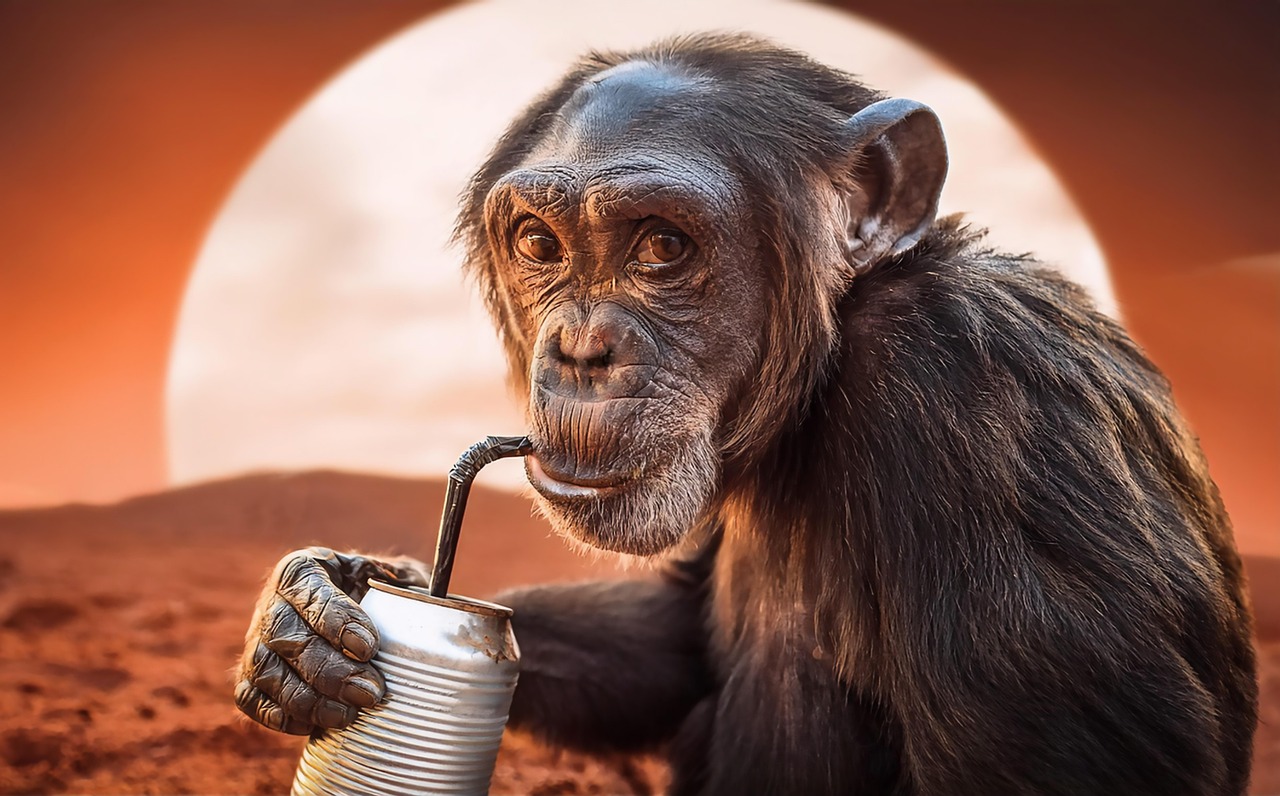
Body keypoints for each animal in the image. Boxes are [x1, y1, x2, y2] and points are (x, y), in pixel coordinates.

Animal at [235, 34, 1258, 795]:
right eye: (538, 243)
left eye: (661, 245)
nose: (580, 352)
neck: (828, 373)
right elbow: (679, 633)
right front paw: (314, 610)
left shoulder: (975, 391)